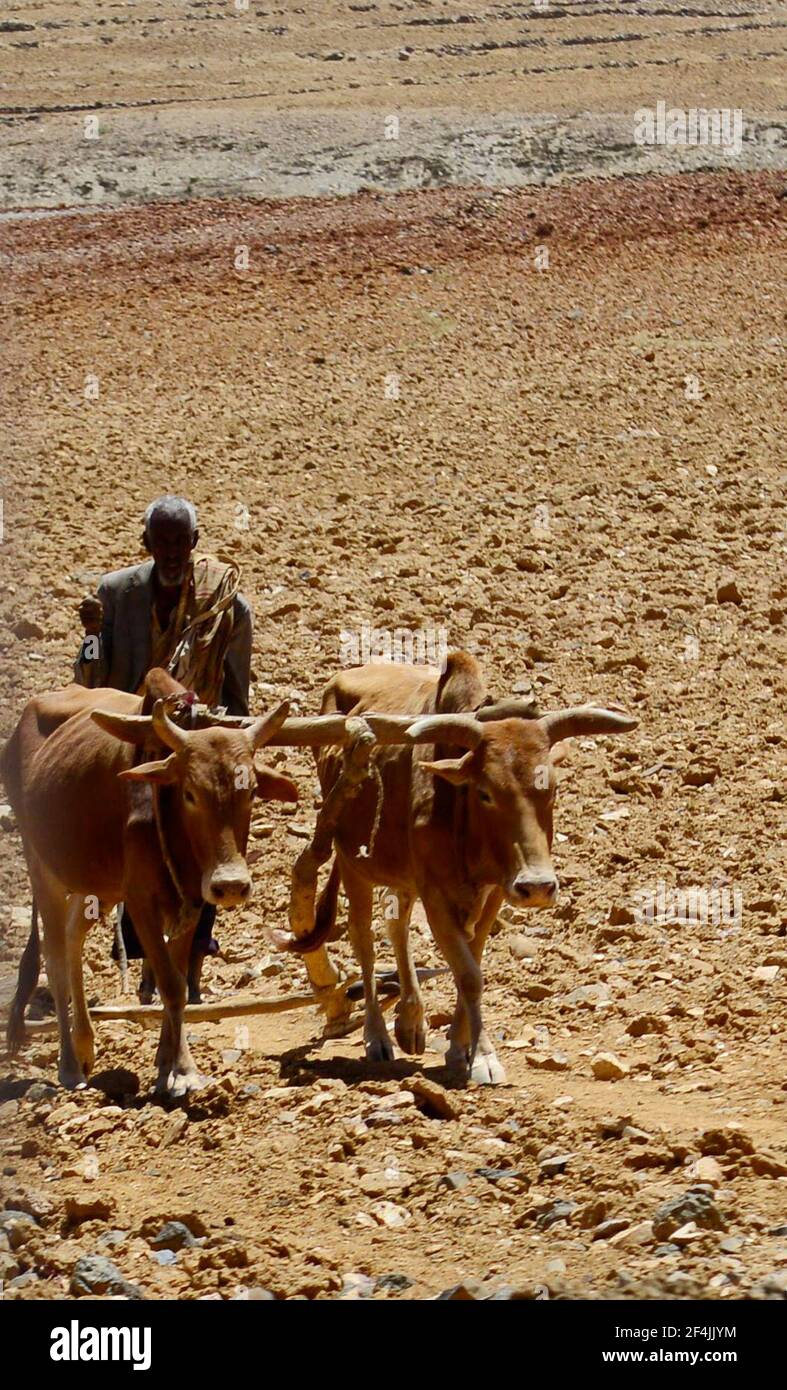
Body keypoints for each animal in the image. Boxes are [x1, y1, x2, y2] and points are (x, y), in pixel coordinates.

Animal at [1, 669, 297, 1095]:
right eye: (190, 793)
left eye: (252, 790)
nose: (231, 884)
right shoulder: (141, 903)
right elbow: (171, 984)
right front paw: (184, 1070)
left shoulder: (191, 904)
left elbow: (176, 982)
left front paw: (166, 1063)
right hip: (42, 867)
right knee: (55, 958)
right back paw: (70, 1065)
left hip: (96, 885)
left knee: (73, 937)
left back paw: (86, 1046)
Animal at [281, 651, 637, 1085]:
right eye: (485, 792)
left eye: (550, 788)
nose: (538, 886)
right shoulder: (435, 893)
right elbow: (468, 973)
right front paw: (481, 1055)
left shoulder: (494, 892)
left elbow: (473, 962)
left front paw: (461, 1047)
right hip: (353, 862)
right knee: (364, 940)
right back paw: (377, 1036)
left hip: (400, 873)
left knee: (396, 924)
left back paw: (411, 1021)